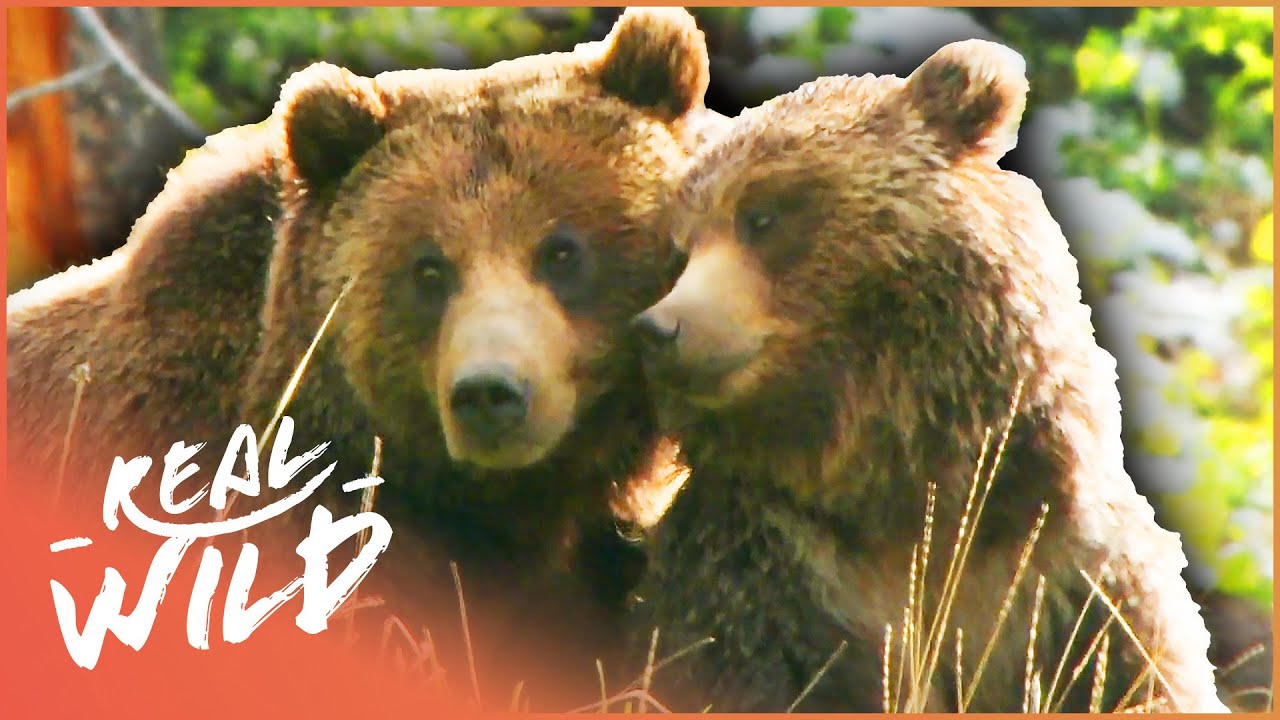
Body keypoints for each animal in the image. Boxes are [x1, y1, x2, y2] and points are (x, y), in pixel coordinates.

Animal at [625, 40, 1227, 713]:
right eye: (680, 250)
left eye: (761, 215)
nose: (659, 329)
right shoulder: (775, 572)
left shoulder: (1071, 574)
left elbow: (1134, 674)